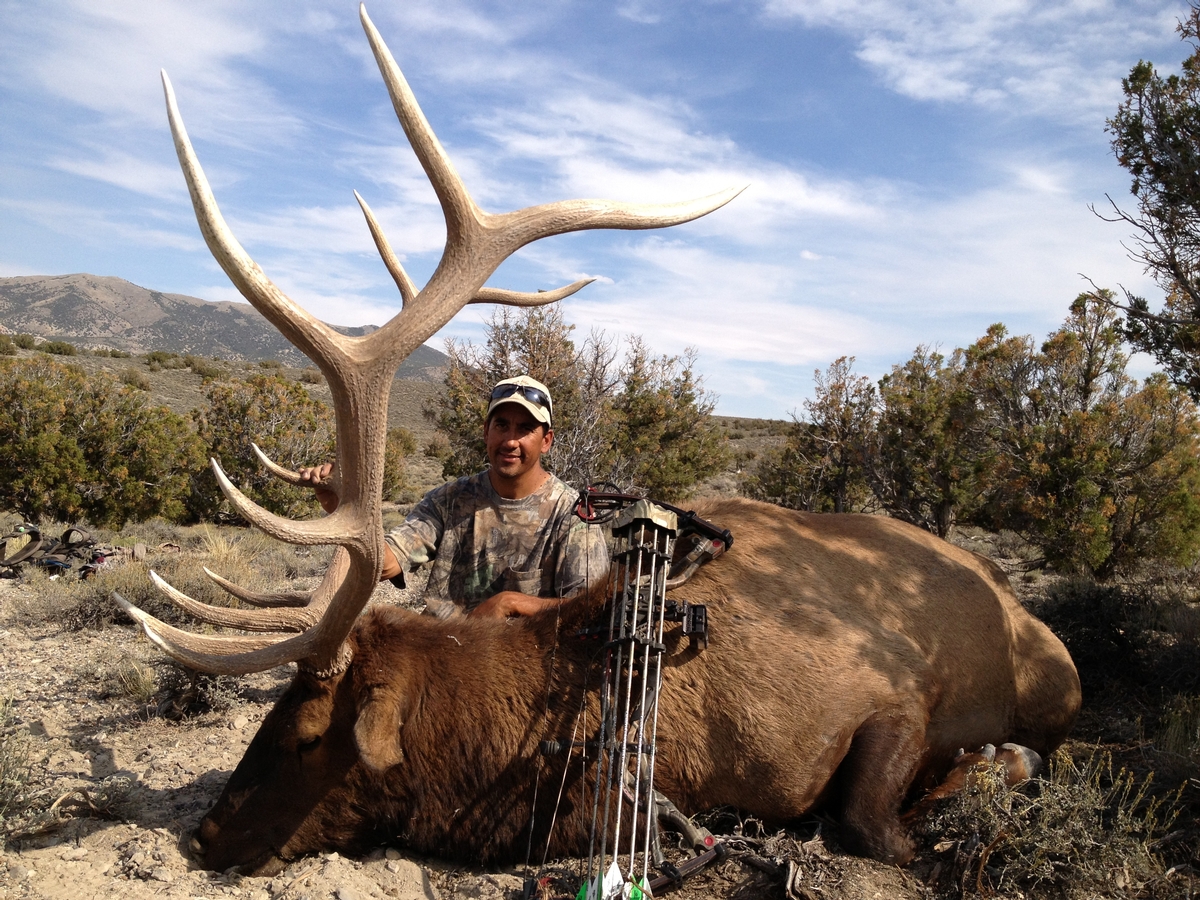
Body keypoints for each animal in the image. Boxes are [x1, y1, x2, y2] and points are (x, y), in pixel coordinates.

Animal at [113, 4, 1082, 879]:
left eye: (311, 733)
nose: (206, 836)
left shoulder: (888, 703)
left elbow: (876, 824)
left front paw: (985, 772)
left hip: (1057, 676)